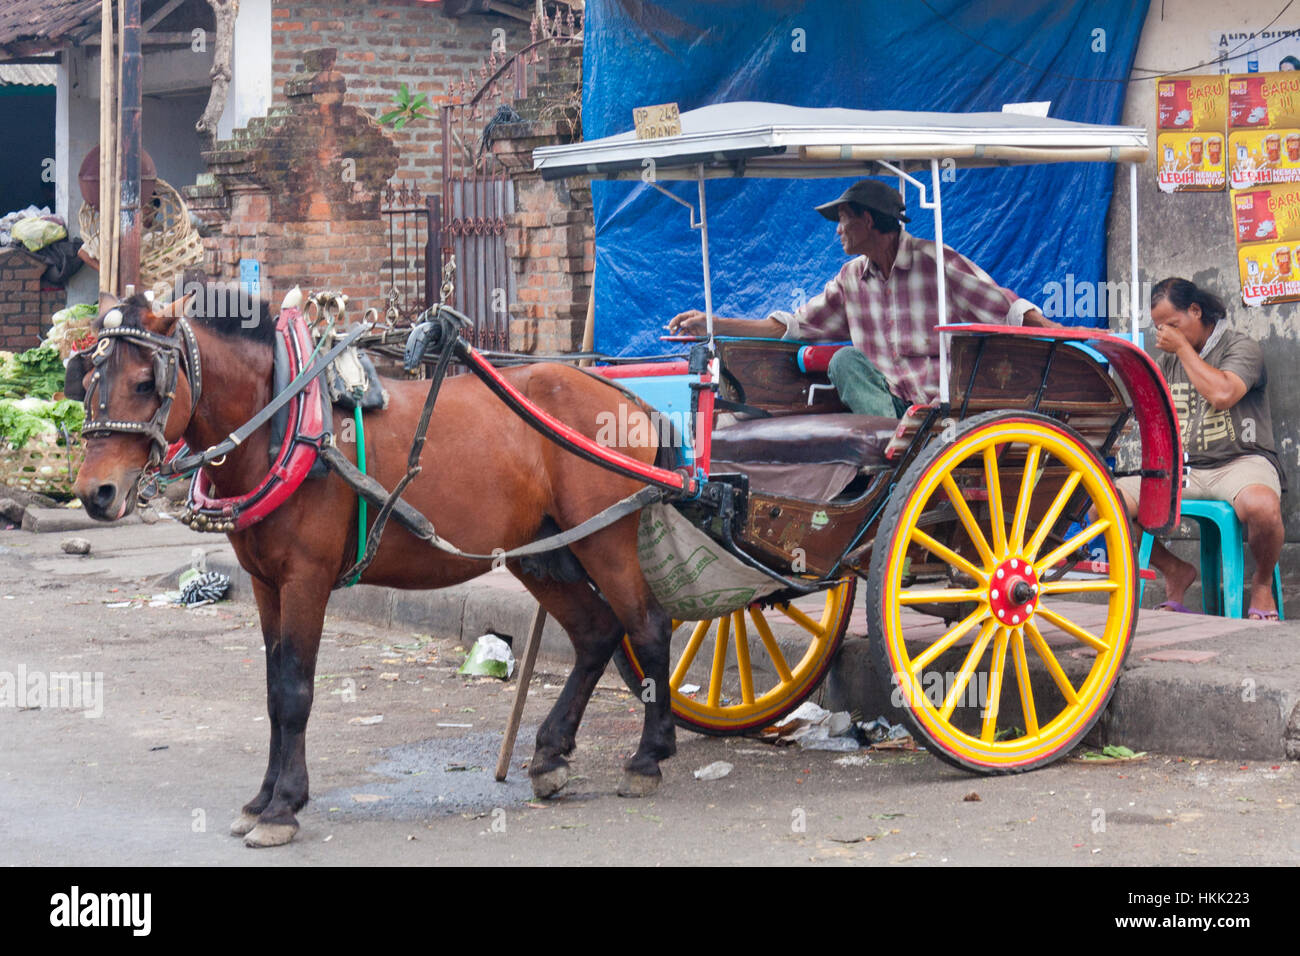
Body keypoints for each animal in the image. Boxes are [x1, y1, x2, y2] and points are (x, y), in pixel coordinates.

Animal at [71, 290, 676, 847]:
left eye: (145, 383)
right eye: (89, 379)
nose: (95, 493)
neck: (283, 422)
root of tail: (626, 398)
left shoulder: (306, 579)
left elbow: (294, 689)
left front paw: (282, 808)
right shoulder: (265, 583)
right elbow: (271, 690)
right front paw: (262, 798)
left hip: (605, 536)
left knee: (647, 628)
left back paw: (648, 757)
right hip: (541, 551)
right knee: (596, 632)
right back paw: (550, 755)